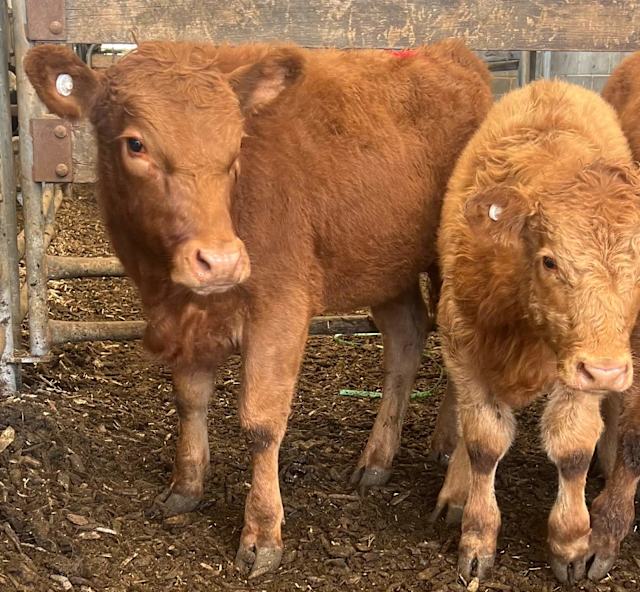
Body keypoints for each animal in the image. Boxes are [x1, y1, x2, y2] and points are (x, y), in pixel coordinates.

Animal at [25, 40, 492, 577]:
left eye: (236, 148)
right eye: (135, 144)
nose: (221, 260)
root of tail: (450, 53)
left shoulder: (280, 308)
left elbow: (262, 423)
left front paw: (262, 531)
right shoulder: (184, 319)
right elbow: (190, 399)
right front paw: (185, 487)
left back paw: (455, 487)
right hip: (385, 264)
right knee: (407, 338)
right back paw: (384, 457)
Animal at [429, 78, 640, 584]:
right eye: (550, 260)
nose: (608, 371)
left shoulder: (583, 363)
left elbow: (573, 446)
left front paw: (571, 541)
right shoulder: (461, 338)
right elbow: (482, 441)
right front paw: (477, 535)